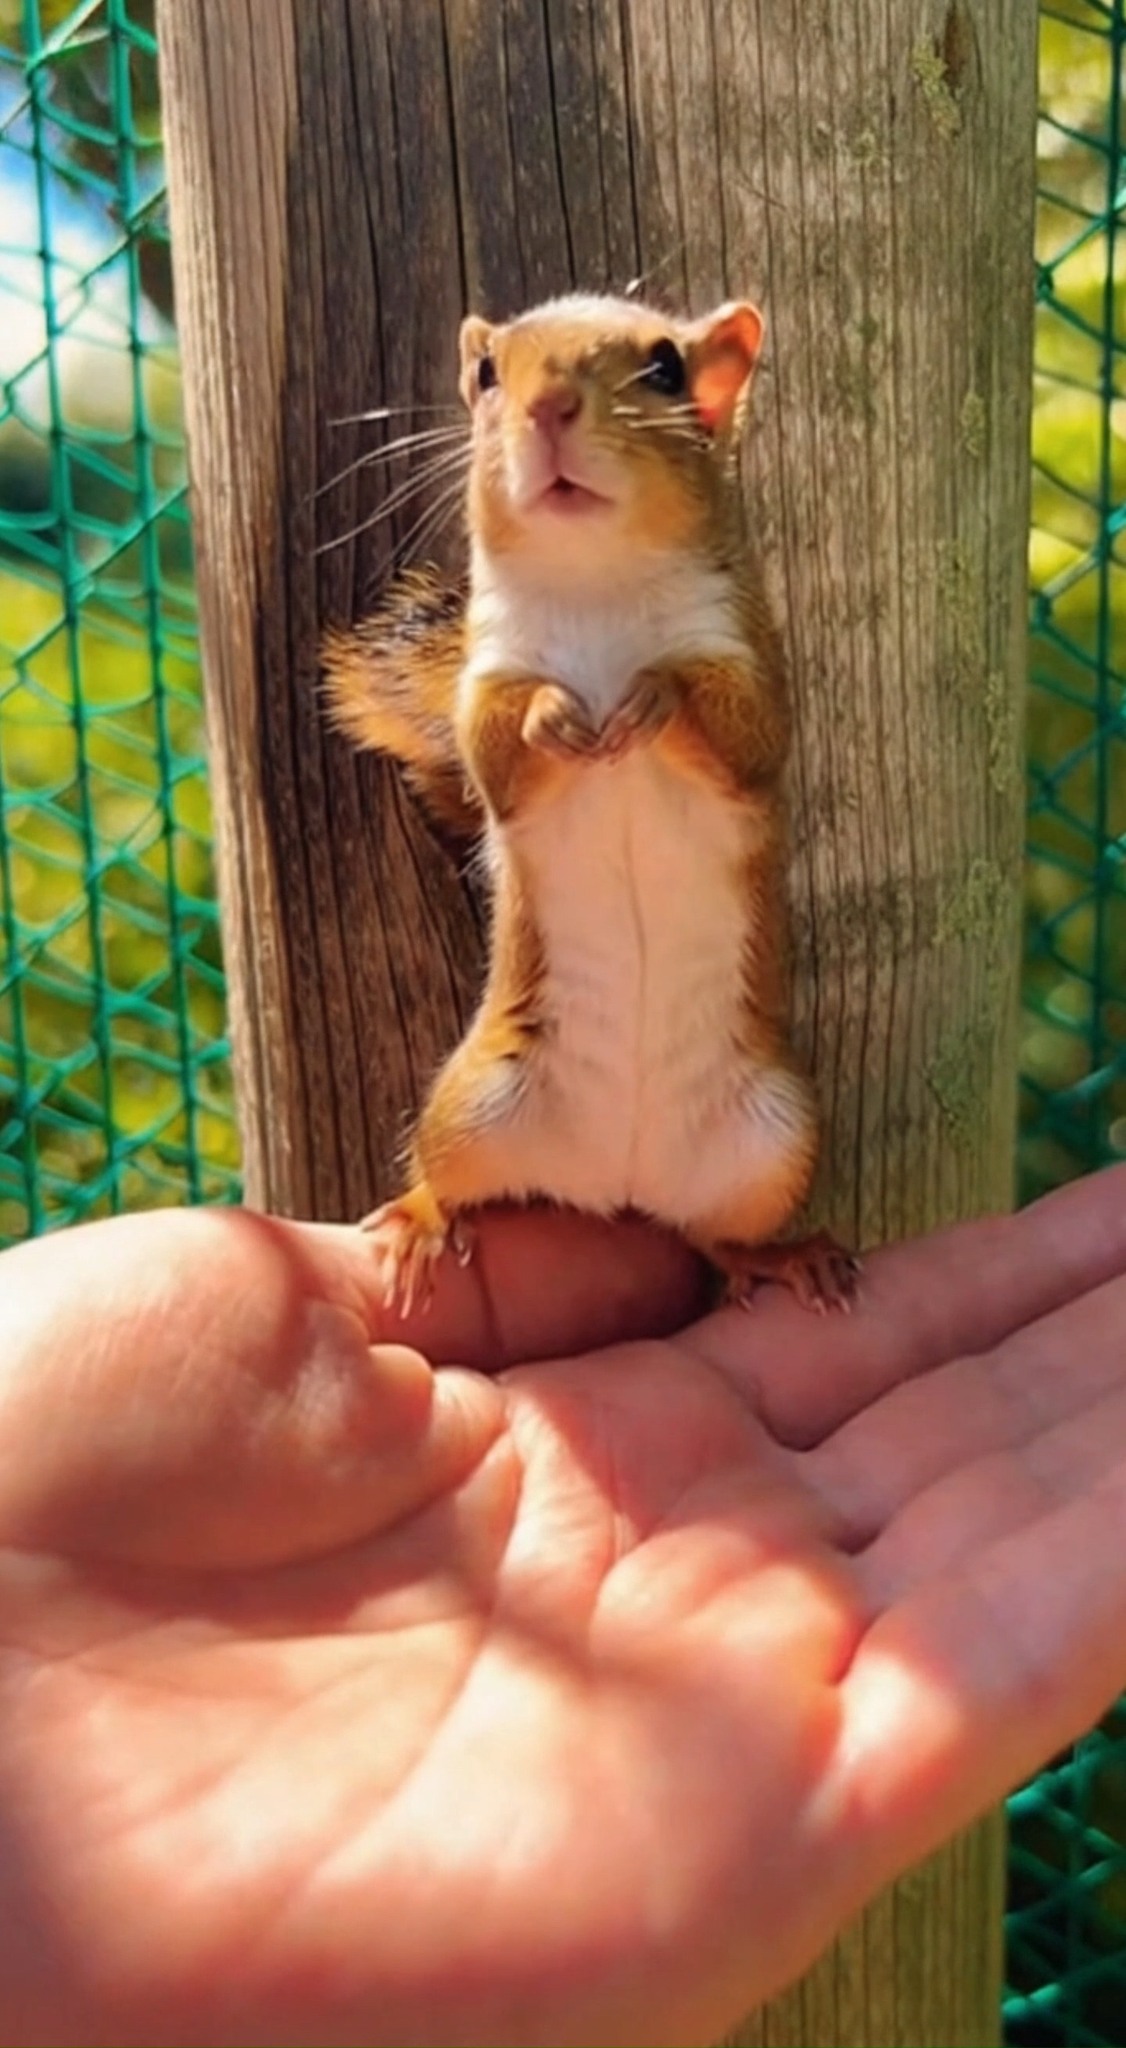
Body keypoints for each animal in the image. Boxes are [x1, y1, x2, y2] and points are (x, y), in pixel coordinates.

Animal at [322, 292, 858, 1314]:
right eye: (488, 371)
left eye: (665, 369)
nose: (549, 407)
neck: (596, 581)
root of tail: (618, 1181)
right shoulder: (490, 675)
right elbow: (496, 748)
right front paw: (557, 716)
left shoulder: (747, 661)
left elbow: (743, 731)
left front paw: (652, 698)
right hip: (469, 1106)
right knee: (446, 1175)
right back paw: (418, 1221)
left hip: (776, 1140)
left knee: (712, 1236)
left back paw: (784, 1258)